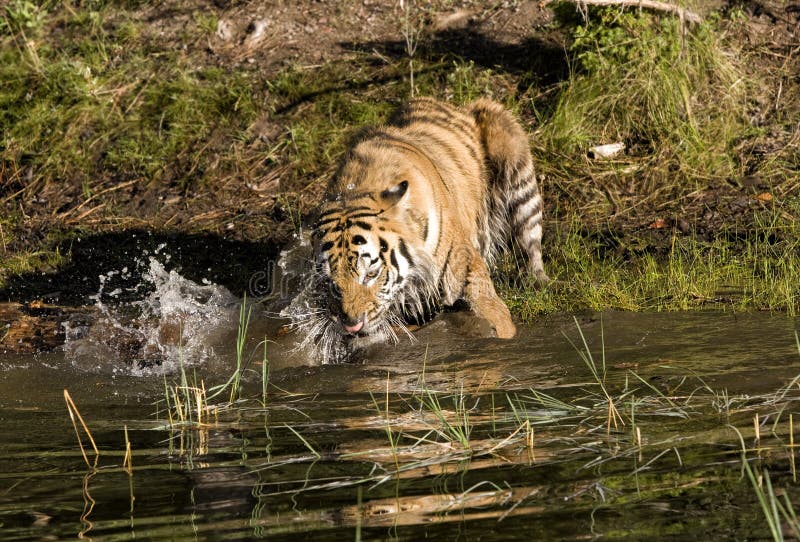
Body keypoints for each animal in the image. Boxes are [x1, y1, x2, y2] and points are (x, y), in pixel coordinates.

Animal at [285, 97, 547, 362]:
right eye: (332, 283)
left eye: (371, 274)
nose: (352, 325)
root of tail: (457, 106)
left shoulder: (463, 266)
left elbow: (492, 312)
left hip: (514, 164)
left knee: (530, 241)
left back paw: (536, 281)